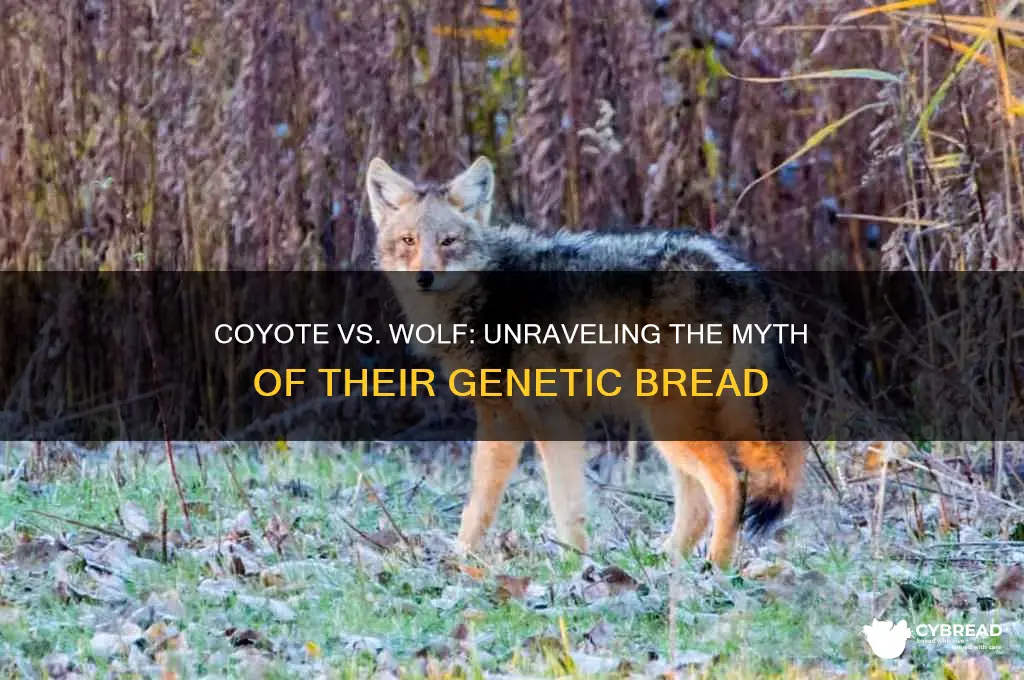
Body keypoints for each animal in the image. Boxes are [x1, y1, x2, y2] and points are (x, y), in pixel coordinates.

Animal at [365, 155, 805, 568]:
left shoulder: (525, 418)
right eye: (408, 240)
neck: (484, 292)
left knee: (732, 487)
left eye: (448, 241)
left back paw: (715, 570)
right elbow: (555, 503)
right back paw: (668, 565)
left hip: (672, 422)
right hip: (669, 426)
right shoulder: (536, 419)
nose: (424, 278)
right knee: (698, 504)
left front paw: (472, 560)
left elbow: (505, 505)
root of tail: (739, 272)